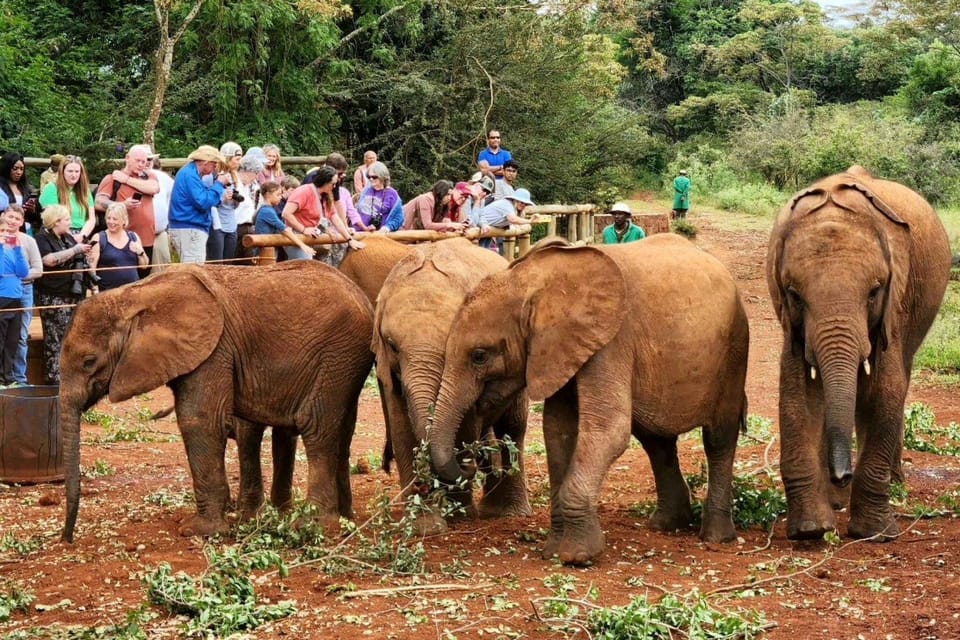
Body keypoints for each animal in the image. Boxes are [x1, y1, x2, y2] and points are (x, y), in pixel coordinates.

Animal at [60, 261, 374, 542]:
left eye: (89, 362)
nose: (67, 538)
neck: (135, 295)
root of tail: (363, 297)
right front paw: (237, 521)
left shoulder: (214, 350)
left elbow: (200, 421)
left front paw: (199, 532)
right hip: (344, 363)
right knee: (338, 432)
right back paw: (341, 519)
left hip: (337, 354)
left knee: (315, 427)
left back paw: (314, 528)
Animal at [373, 238, 531, 533]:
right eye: (392, 345)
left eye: (449, 342)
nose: (467, 464)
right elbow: (401, 426)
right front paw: (424, 527)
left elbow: (465, 424)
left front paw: (459, 515)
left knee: (513, 427)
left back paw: (507, 511)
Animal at [430, 235, 750, 565]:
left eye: (479, 356)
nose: (470, 463)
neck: (532, 281)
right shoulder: (561, 349)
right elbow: (558, 430)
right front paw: (553, 552)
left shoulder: (611, 341)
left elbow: (608, 429)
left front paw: (577, 556)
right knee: (655, 441)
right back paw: (667, 525)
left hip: (735, 348)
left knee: (718, 439)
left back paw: (716, 537)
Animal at [766, 166, 951, 541]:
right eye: (794, 295)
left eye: (874, 292)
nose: (842, 475)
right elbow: (796, 394)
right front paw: (811, 529)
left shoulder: (895, 305)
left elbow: (885, 392)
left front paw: (876, 534)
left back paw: (894, 484)